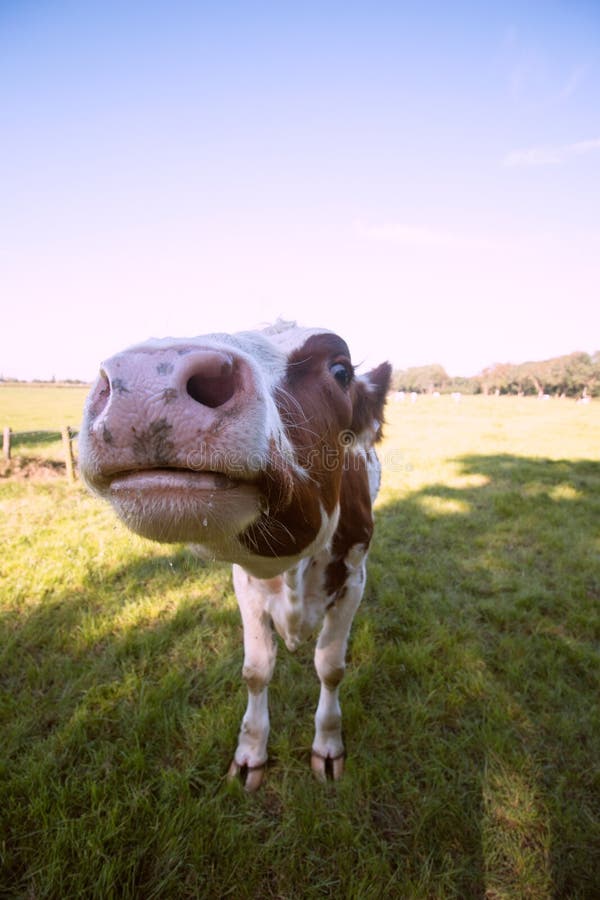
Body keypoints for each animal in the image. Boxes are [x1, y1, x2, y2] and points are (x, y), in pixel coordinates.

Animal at [79, 321, 391, 790]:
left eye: (340, 370)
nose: (151, 375)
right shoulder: (245, 582)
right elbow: (256, 670)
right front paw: (251, 752)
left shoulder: (355, 579)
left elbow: (331, 667)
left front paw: (327, 745)